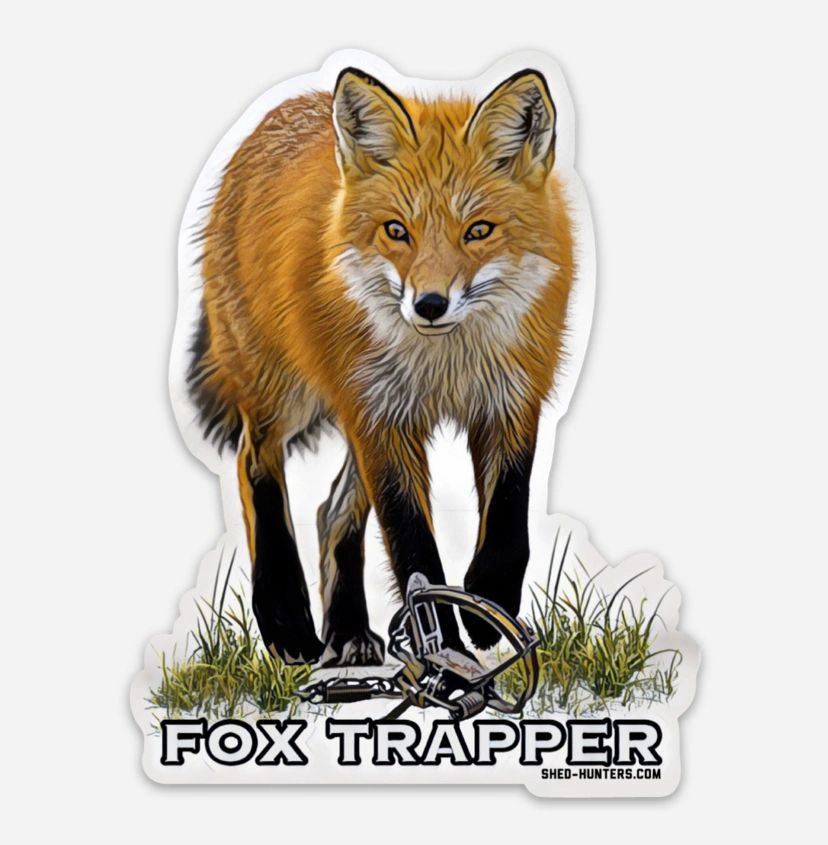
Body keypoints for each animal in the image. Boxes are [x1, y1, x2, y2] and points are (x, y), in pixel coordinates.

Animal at [188, 66, 574, 667]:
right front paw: (444, 648)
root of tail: (282, 112)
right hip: (287, 395)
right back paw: (287, 620)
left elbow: (510, 519)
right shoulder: (381, 416)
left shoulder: (511, 399)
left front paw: (488, 608)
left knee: (331, 511)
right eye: (397, 231)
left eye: (478, 230)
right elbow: (414, 549)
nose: (430, 304)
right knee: (255, 465)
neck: (446, 365)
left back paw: (347, 632)